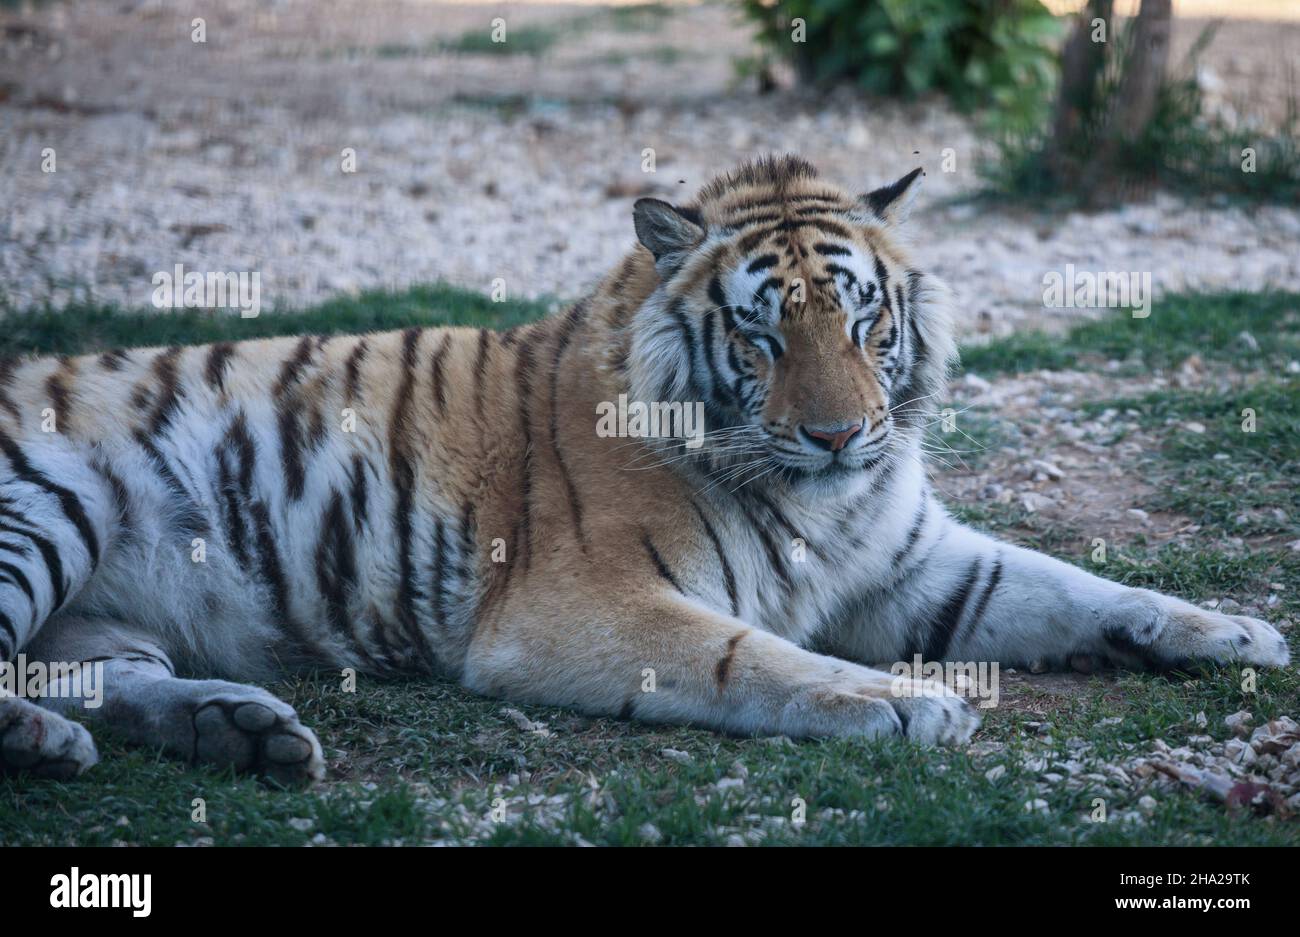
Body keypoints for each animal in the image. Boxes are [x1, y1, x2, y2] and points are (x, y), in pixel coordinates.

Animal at [0, 155, 1289, 783]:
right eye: (763, 334)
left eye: (864, 320)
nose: (839, 435)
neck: (826, 500)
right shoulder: (580, 603)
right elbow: (750, 656)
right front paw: (905, 702)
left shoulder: (911, 564)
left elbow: (1074, 584)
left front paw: (1233, 630)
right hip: (51, 502)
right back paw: (58, 743)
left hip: (104, 615)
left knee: (89, 674)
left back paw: (237, 730)